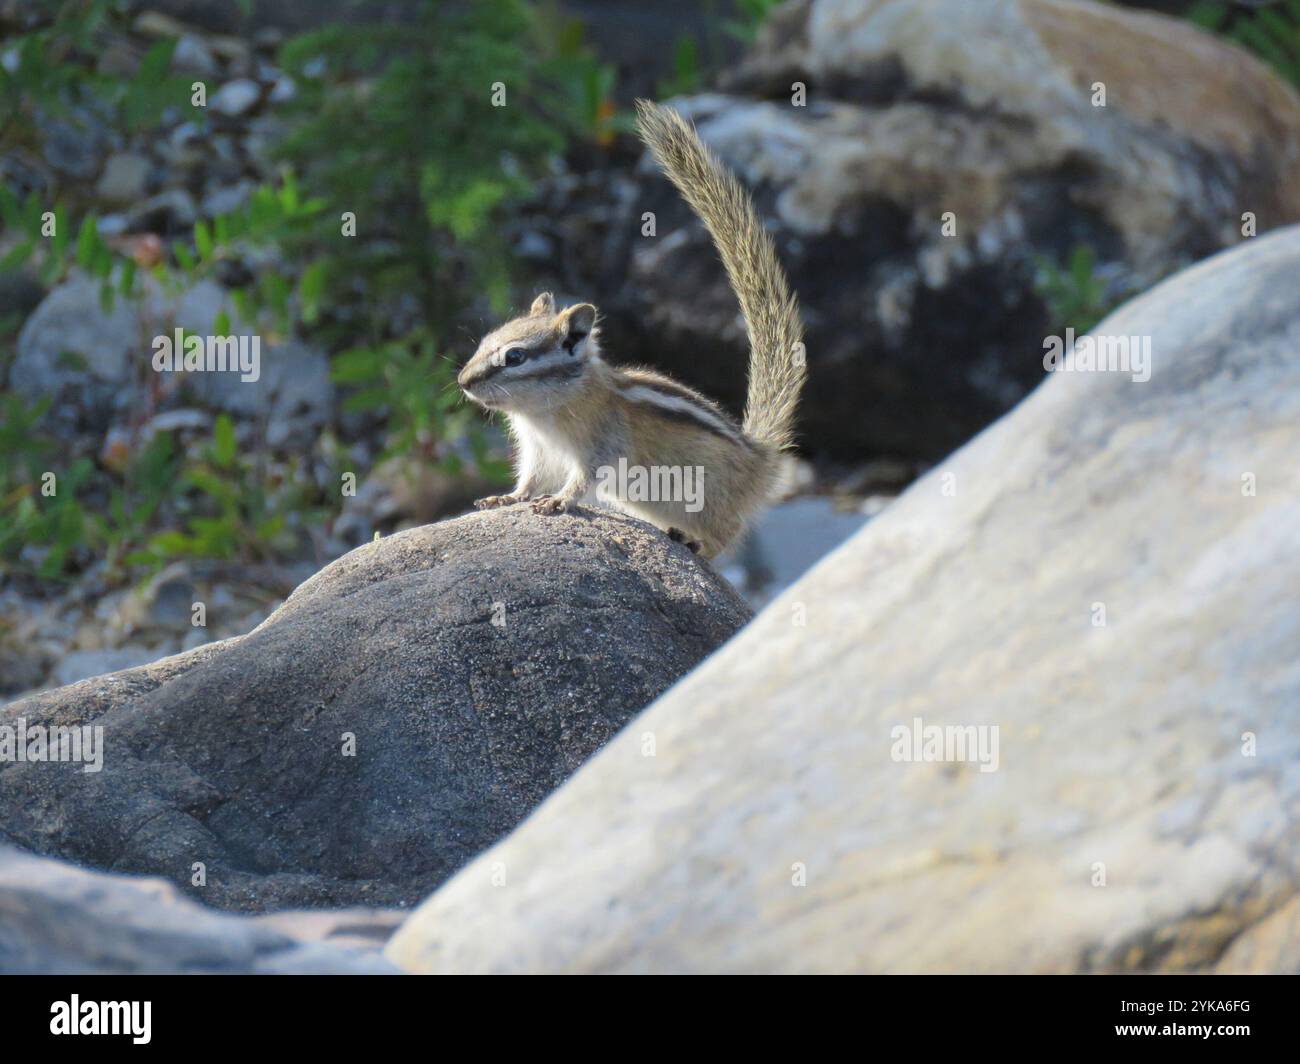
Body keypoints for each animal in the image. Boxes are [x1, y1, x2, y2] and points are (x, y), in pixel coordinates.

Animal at [457, 99, 805, 558]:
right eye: (483, 342)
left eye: (514, 357)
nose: (462, 382)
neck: (543, 412)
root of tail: (759, 456)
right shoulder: (537, 451)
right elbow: (530, 478)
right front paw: (507, 497)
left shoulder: (600, 445)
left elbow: (583, 478)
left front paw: (559, 501)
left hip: (710, 502)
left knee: (725, 535)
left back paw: (697, 545)